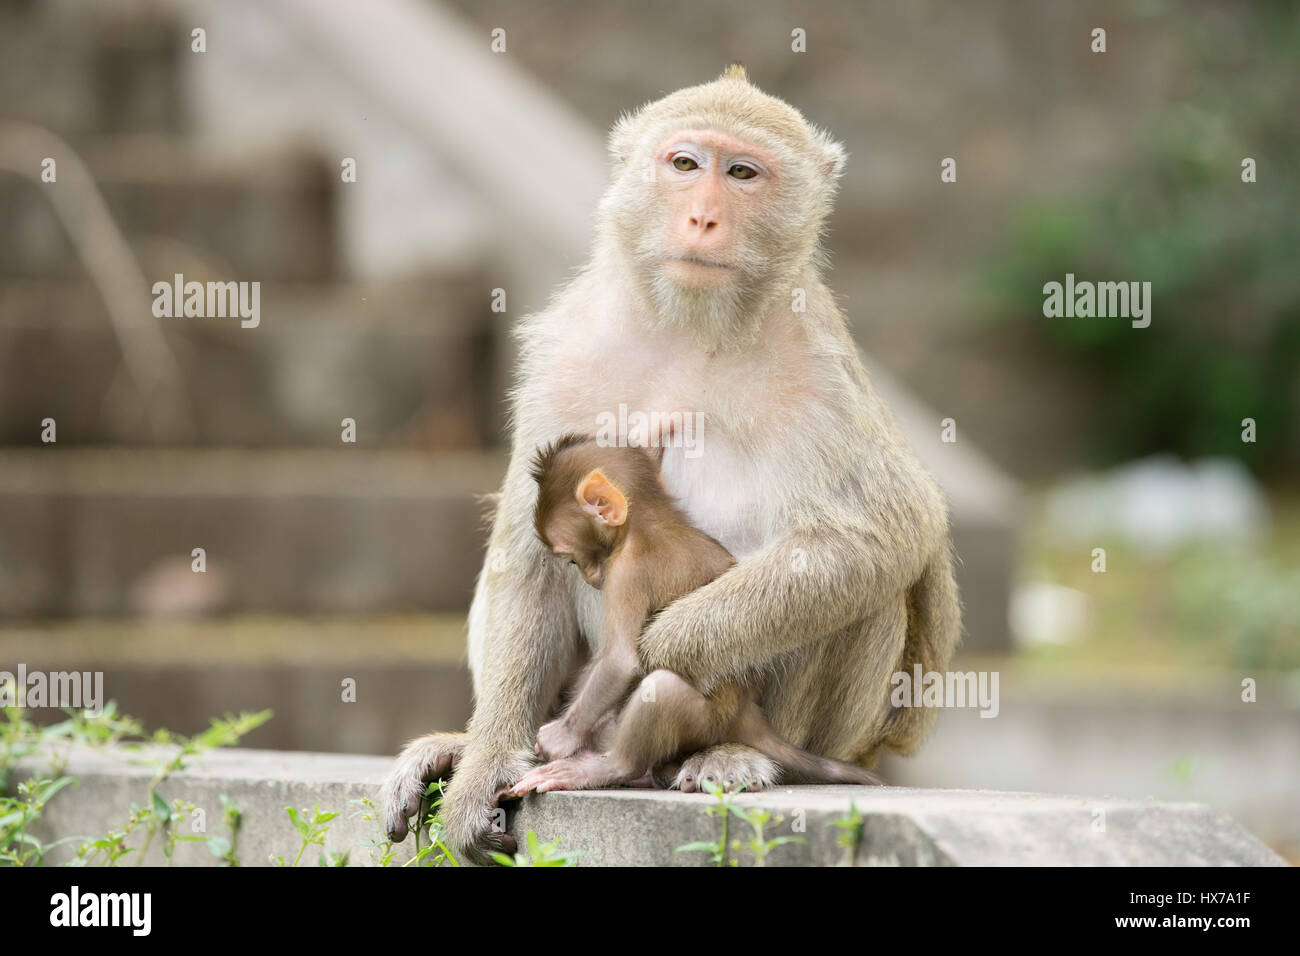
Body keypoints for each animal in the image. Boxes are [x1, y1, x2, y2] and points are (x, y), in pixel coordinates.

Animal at [502, 434, 882, 795]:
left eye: (570, 559)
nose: (590, 577)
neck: (648, 520)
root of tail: (747, 710)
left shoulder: (627, 572)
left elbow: (620, 660)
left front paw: (561, 737)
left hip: (707, 721)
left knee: (661, 688)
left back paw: (611, 768)